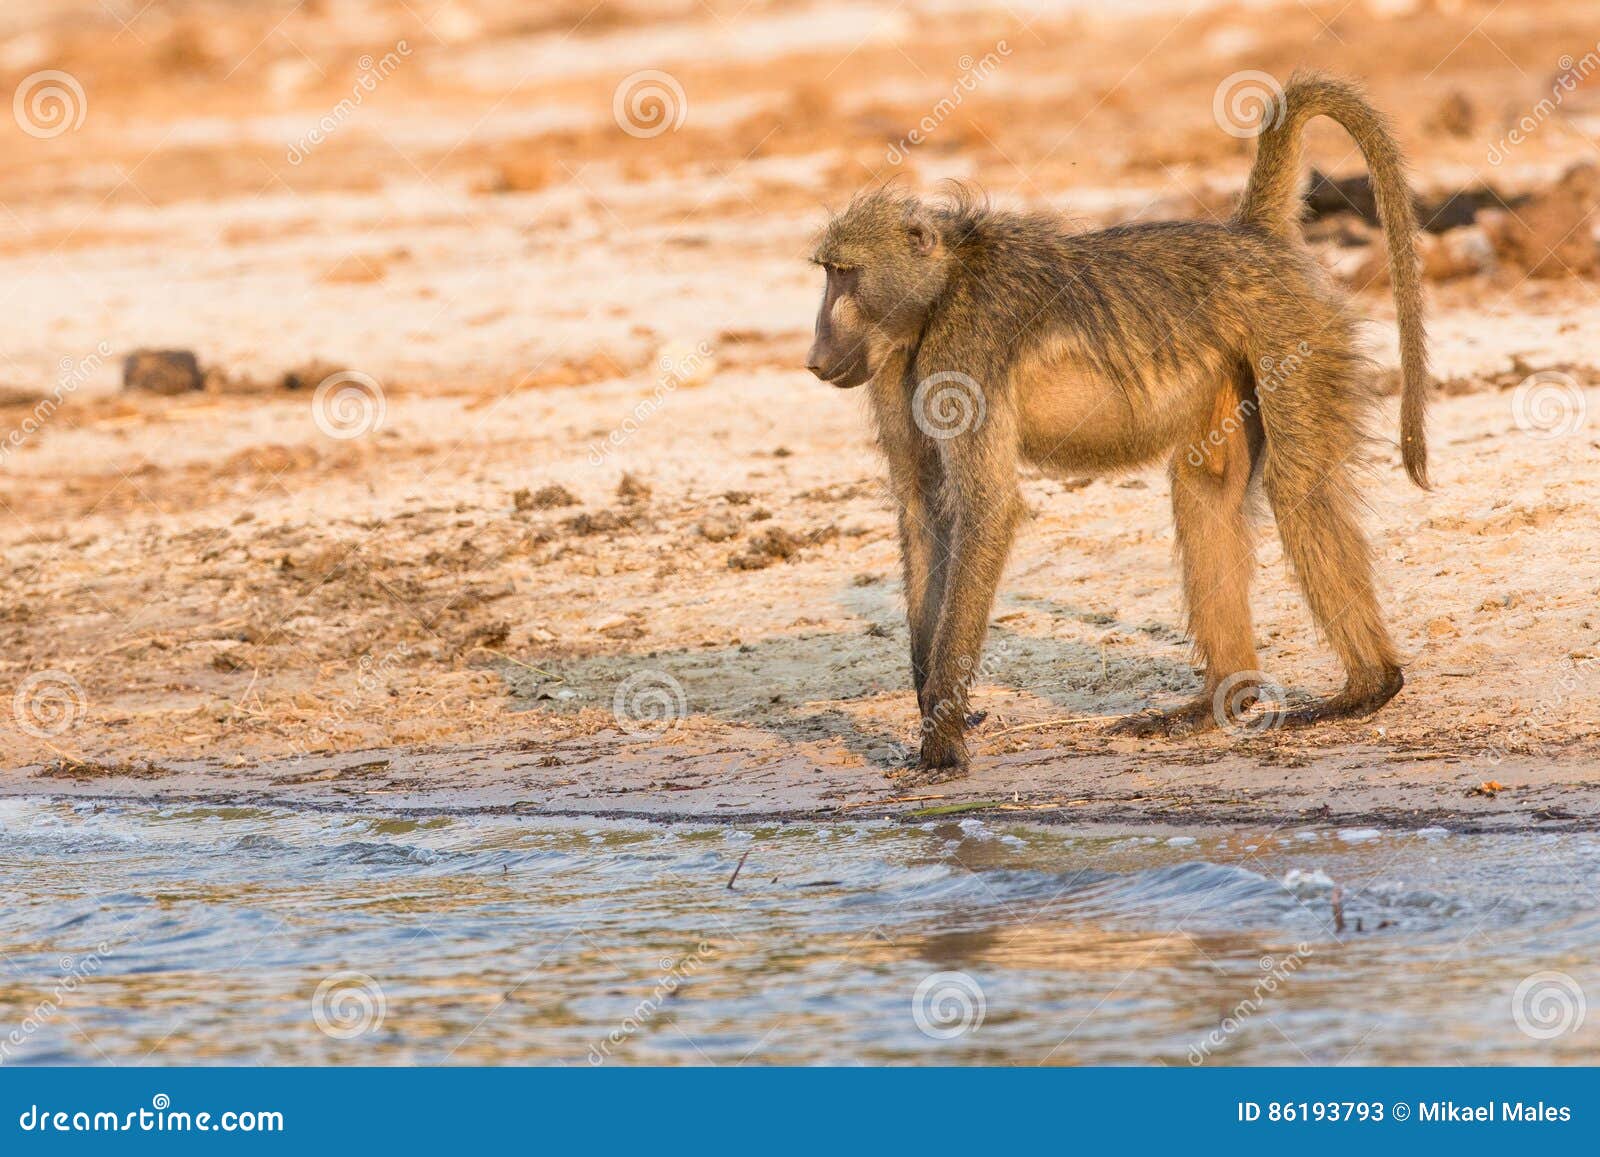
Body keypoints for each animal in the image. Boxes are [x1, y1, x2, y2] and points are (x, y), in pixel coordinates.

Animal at [805, 70, 1429, 782]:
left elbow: (986, 509)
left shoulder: (965, 350)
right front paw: (930, 696)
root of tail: (1251, 237)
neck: (941, 290)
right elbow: (921, 506)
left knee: (1299, 488)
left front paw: (941, 739)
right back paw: (1221, 699)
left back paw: (1367, 689)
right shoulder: (891, 369)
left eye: (845, 274)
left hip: (1294, 334)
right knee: (1204, 491)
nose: (815, 356)